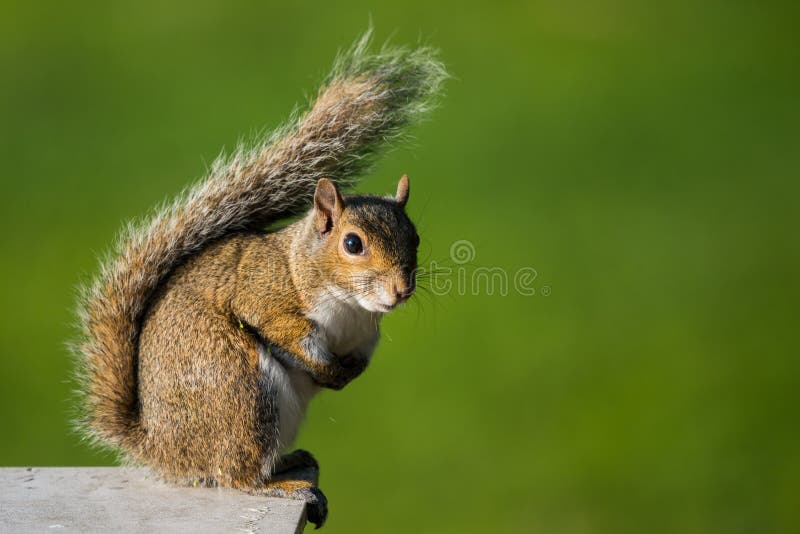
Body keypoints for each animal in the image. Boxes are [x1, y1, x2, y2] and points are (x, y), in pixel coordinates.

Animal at [73, 33, 445, 528]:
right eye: (352, 243)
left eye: (416, 237)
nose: (402, 290)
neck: (349, 306)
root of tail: (164, 449)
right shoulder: (266, 296)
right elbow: (286, 330)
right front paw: (329, 371)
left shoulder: (366, 339)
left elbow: (358, 361)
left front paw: (343, 375)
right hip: (240, 386)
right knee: (236, 475)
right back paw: (284, 487)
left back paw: (290, 462)